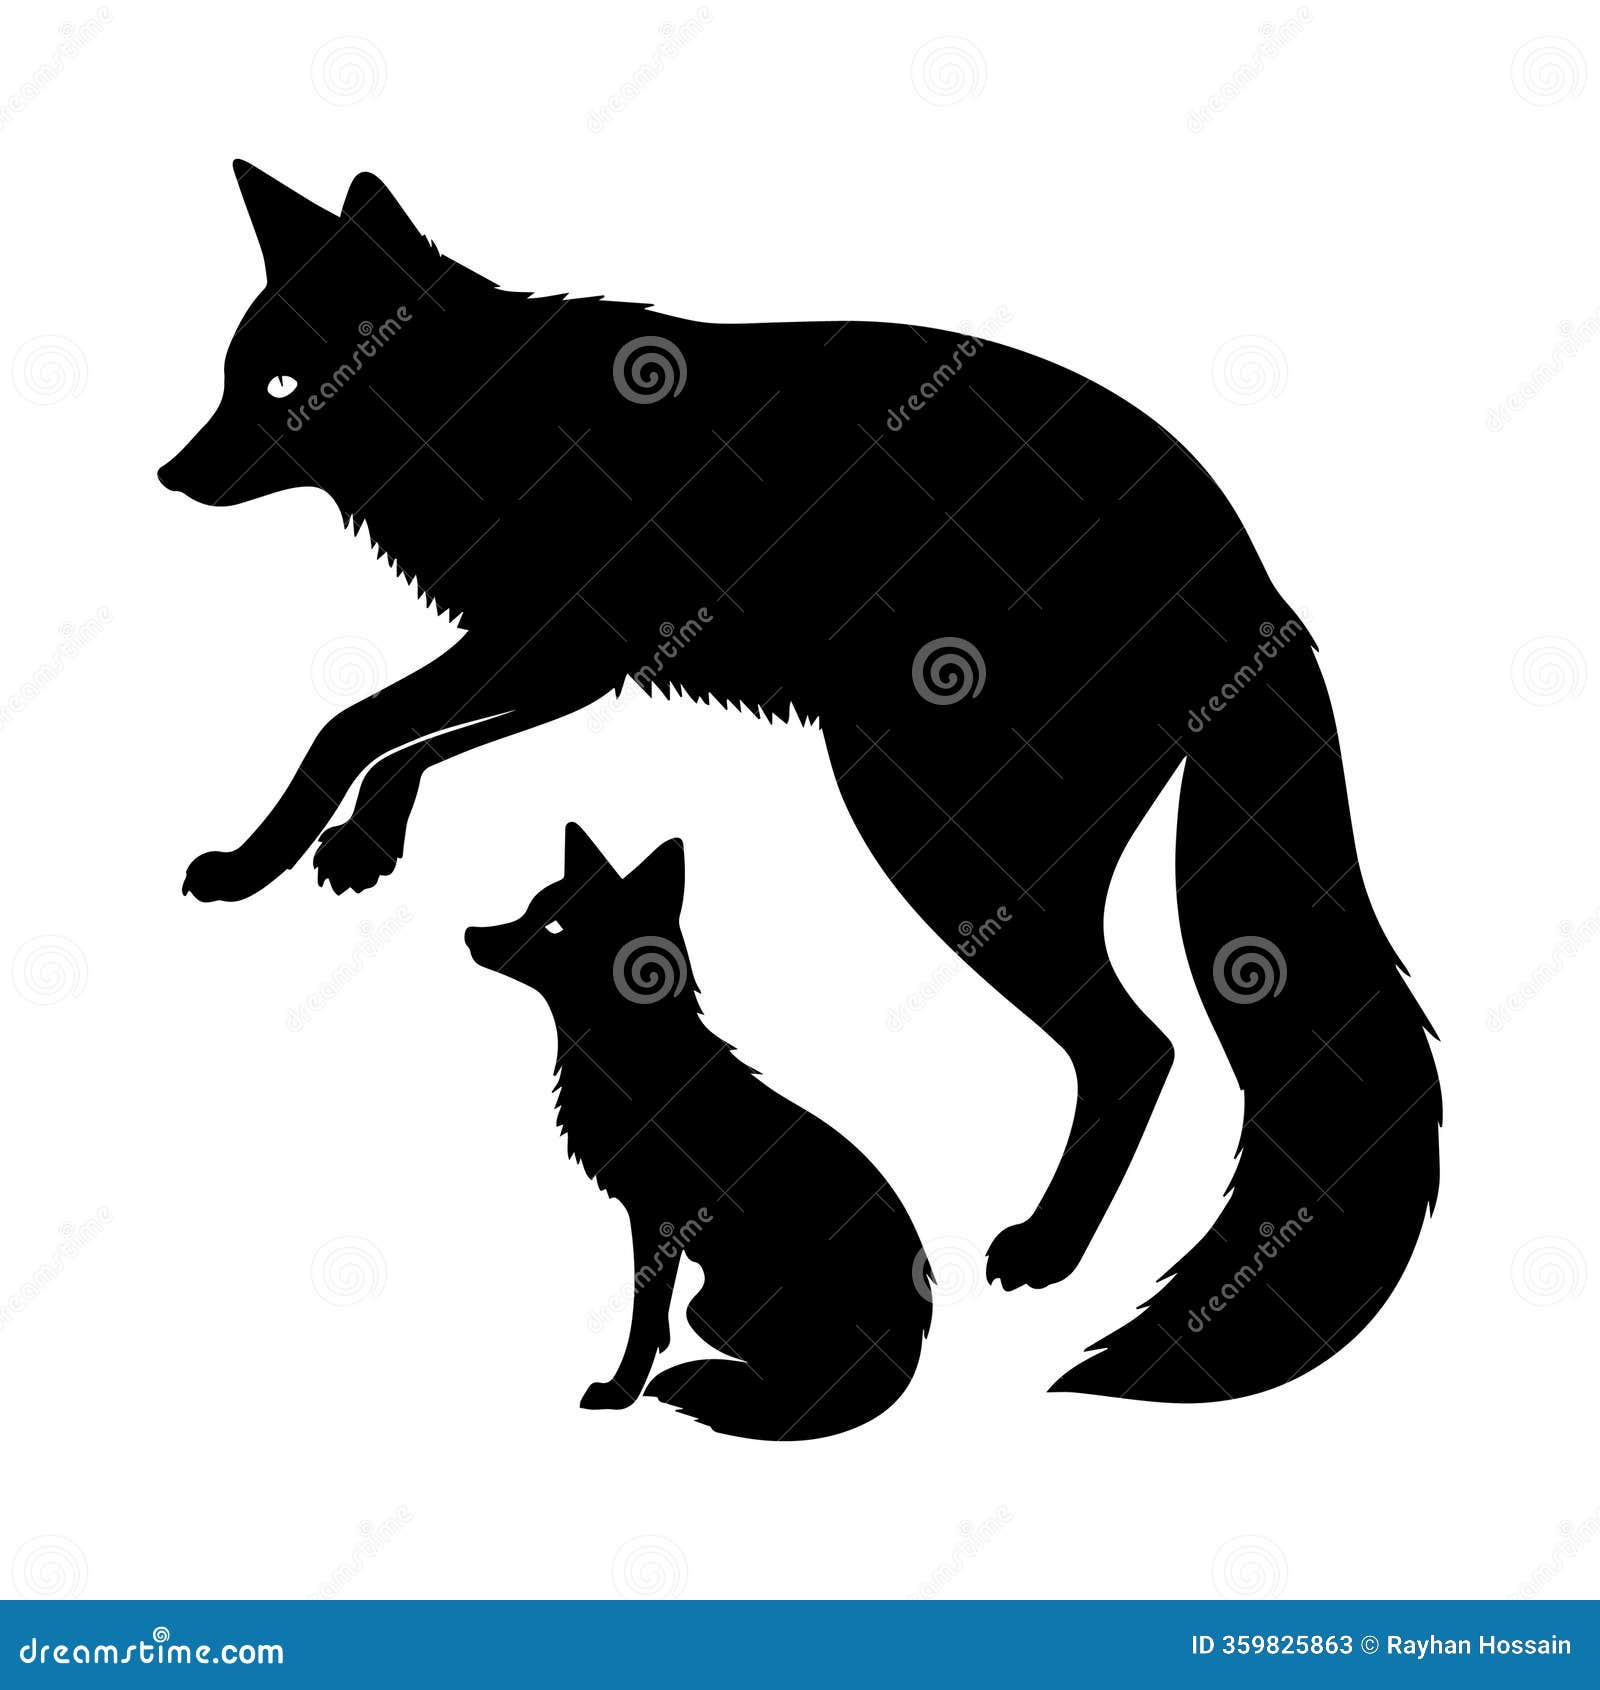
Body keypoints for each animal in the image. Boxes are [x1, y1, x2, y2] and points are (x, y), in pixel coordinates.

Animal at [465, 823, 932, 1439]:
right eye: (529, 907)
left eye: (556, 924)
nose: (470, 934)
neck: (639, 1057)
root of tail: (908, 1356)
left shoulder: (655, 1216)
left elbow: (645, 1316)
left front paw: (619, 1392)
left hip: (716, 1307)